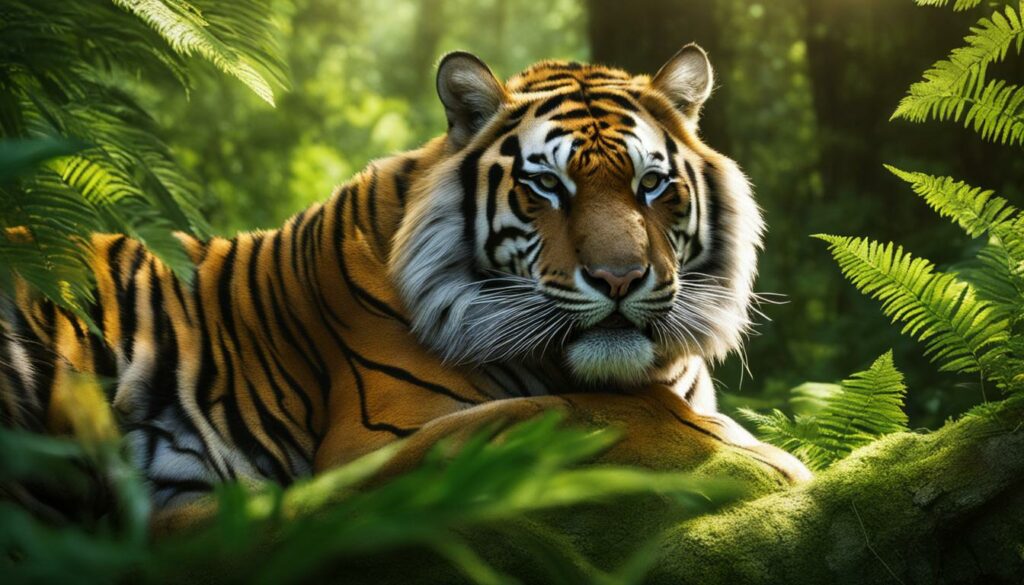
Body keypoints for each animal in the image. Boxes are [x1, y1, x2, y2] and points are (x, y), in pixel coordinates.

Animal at [0, 43, 811, 521]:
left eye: (651, 185)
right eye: (546, 185)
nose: (619, 278)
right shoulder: (377, 445)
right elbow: (582, 411)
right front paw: (775, 467)